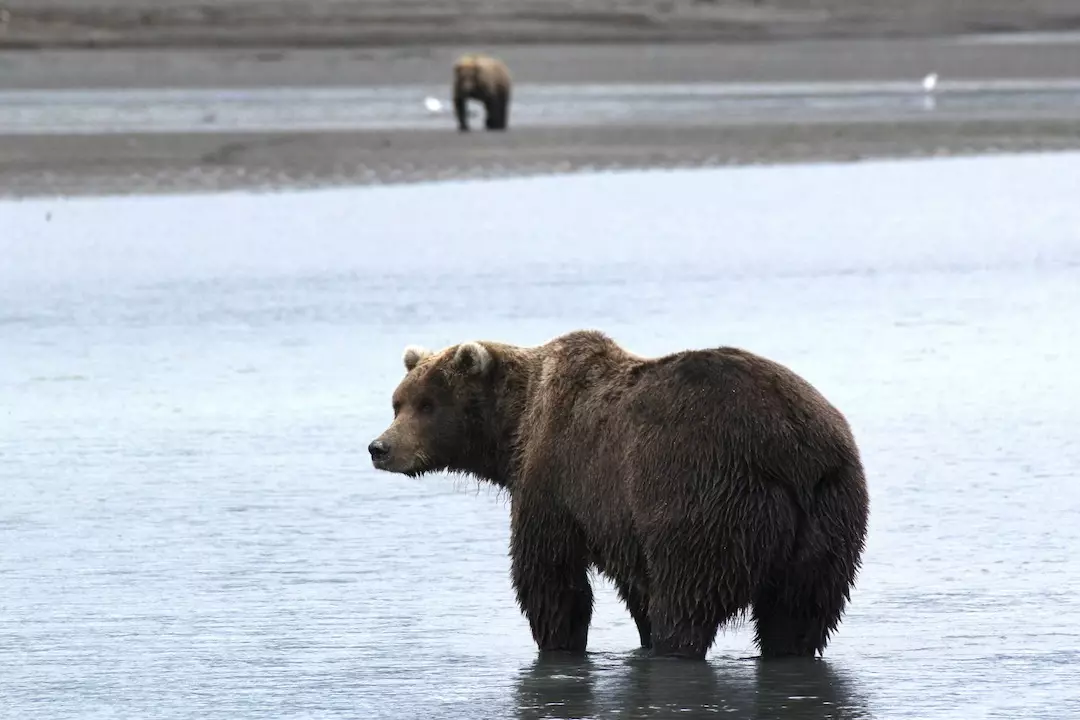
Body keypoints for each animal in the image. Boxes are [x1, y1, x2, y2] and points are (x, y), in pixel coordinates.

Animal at [369, 330, 868, 660]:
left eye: (428, 405)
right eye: (398, 402)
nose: (380, 447)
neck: (514, 428)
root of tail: (790, 447)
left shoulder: (555, 477)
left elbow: (550, 575)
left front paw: (559, 641)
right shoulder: (620, 516)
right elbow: (635, 587)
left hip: (706, 498)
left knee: (686, 601)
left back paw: (672, 647)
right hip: (830, 515)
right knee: (800, 614)